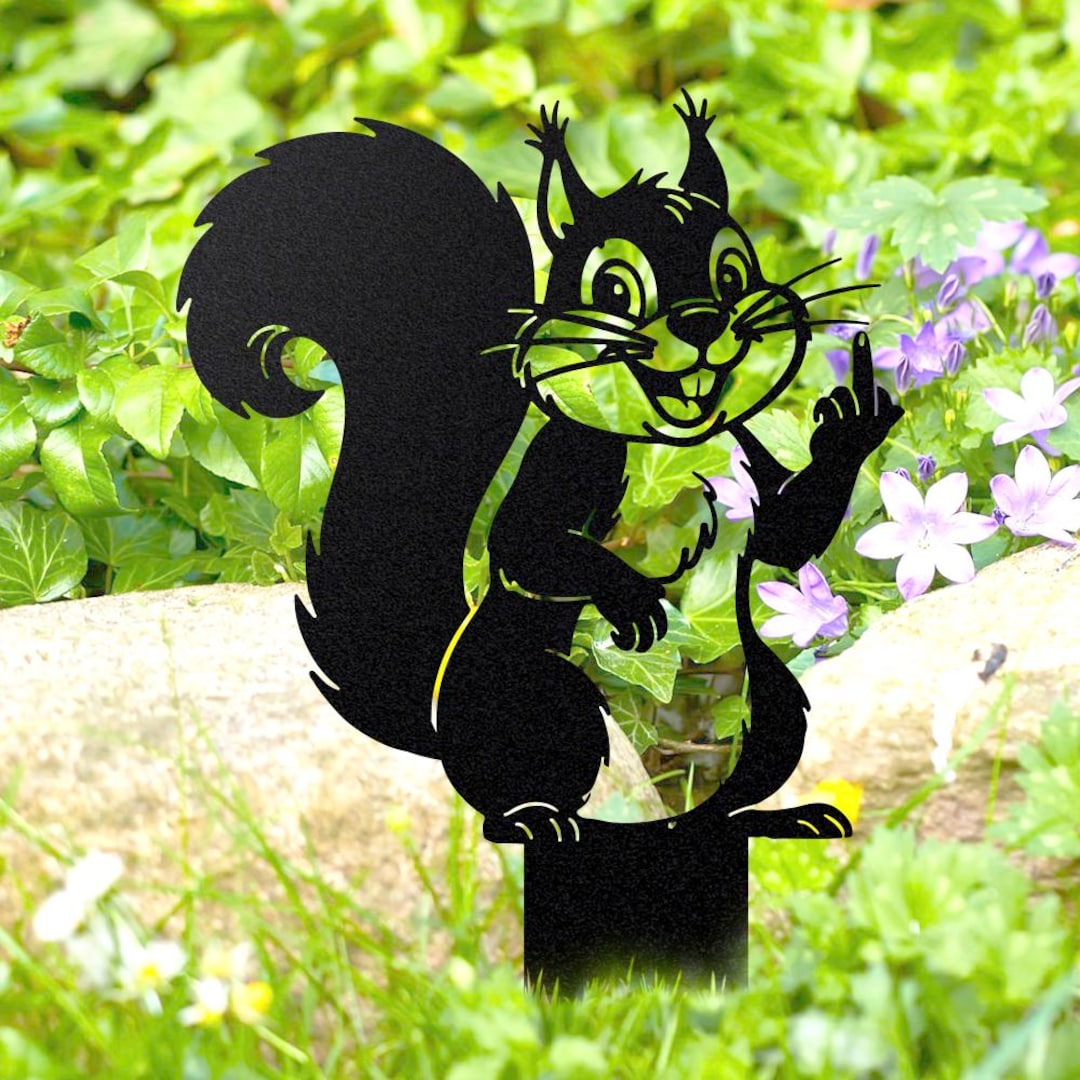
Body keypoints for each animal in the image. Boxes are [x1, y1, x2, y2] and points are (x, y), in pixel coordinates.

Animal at [178, 93, 902, 844]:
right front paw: (630, 597)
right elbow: (526, 543)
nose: (703, 320)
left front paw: (852, 424)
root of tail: (439, 723)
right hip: (552, 708)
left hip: (778, 704)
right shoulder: (574, 456)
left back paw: (782, 816)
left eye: (731, 273)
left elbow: (788, 538)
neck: (675, 437)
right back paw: (543, 823)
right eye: (614, 288)